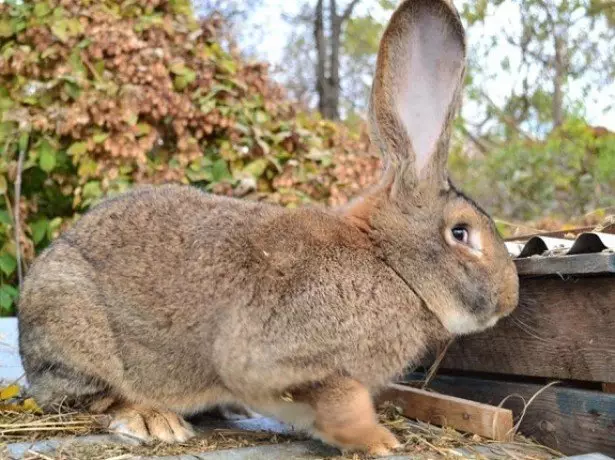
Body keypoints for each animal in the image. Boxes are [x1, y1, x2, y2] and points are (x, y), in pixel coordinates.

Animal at [18, 0, 520, 454]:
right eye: (461, 233)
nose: (511, 298)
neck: (389, 263)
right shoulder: (280, 353)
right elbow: (343, 398)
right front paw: (376, 440)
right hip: (74, 326)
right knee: (92, 399)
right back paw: (153, 420)